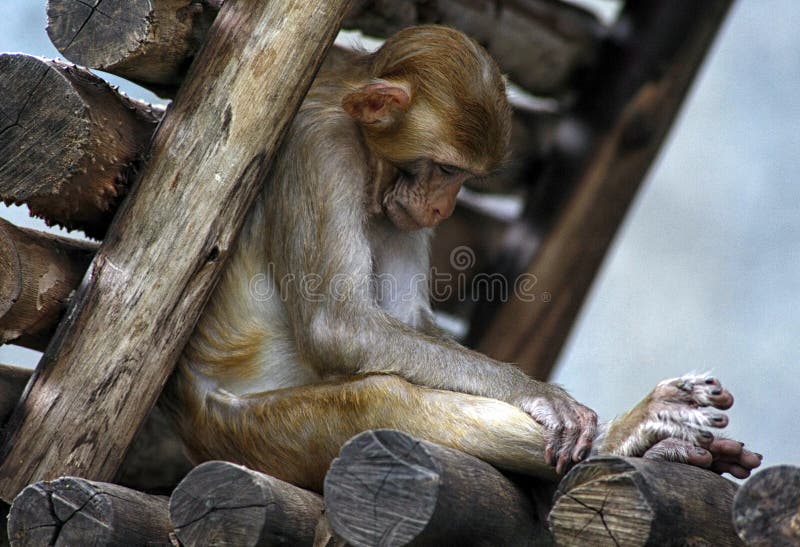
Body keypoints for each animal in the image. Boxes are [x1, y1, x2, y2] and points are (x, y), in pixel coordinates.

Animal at [161, 26, 760, 492]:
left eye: (463, 178)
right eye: (447, 169)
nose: (443, 206)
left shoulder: (389, 197)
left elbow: (400, 317)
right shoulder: (322, 149)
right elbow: (341, 327)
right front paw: (540, 394)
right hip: (253, 438)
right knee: (381, 400)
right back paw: (627, 437)